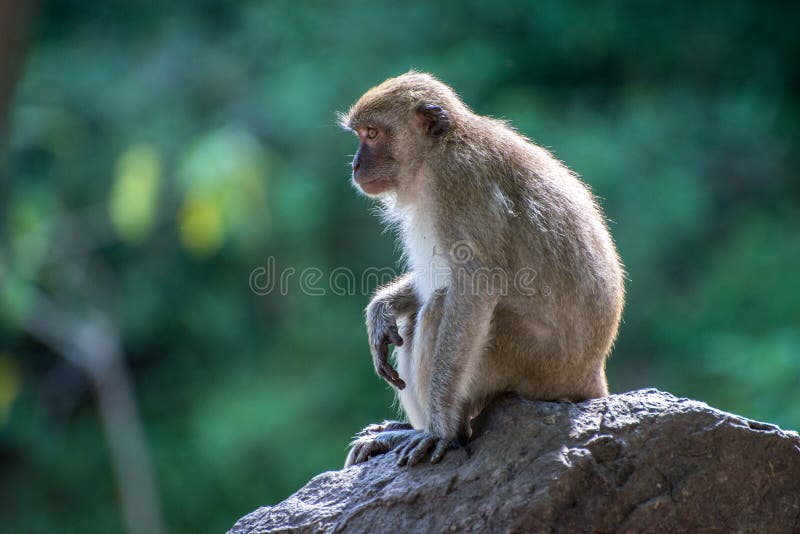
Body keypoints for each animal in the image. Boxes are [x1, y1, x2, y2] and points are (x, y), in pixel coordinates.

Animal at [340, 72, 625, 467]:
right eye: (361, 135)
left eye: (372, 134)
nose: (355, 165)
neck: (434, 155)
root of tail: (591, 374)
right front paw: (381, 308)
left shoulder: (460, 184)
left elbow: (474, 287)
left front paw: (440, 431)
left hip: (530, 364)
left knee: (442, 307)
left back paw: (442, 431)